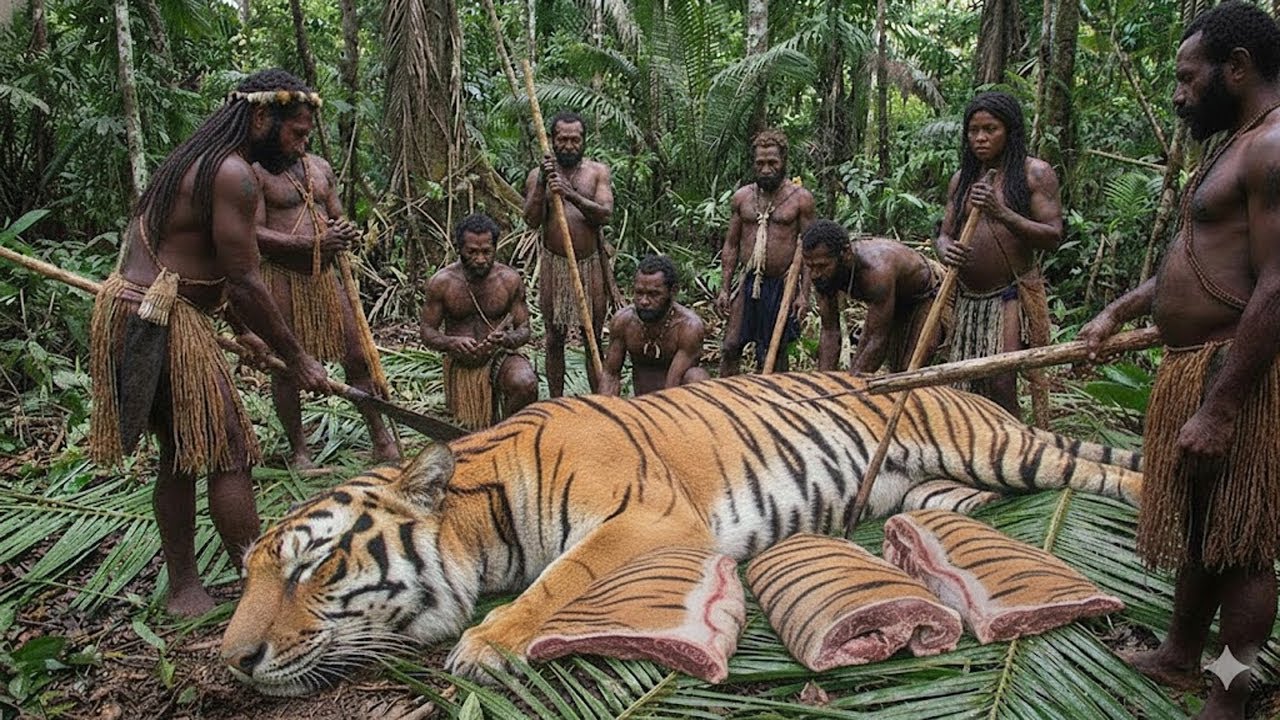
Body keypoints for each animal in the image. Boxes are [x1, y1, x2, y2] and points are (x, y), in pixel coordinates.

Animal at [219, 371, 1141, 696]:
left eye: (312, 564)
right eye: (249, 572)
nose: (231, 661)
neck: (484, 525)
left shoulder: (647, 514)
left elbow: (565, 574)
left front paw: (489, 643)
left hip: (1002, 448)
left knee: (1102, 472)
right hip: (947, 478)